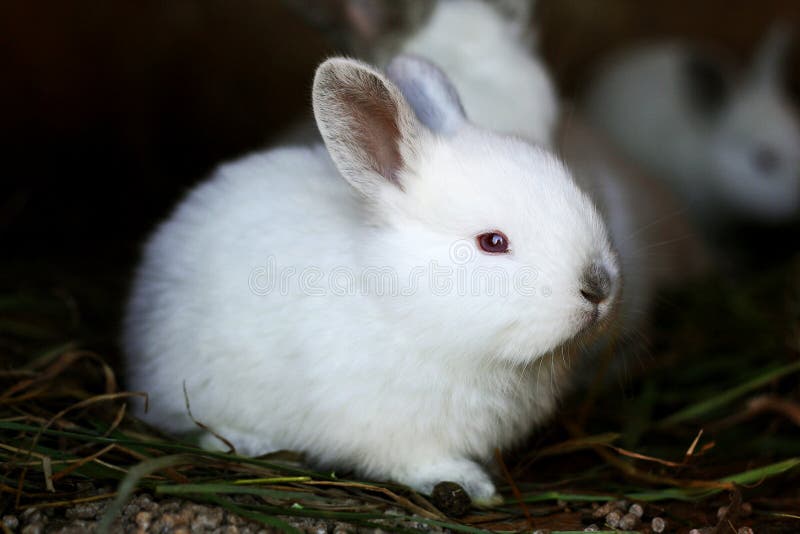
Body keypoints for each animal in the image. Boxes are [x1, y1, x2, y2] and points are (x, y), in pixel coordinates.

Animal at [123, 54, 619, 505]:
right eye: (492, 242)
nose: (599, 288)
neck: (403, 305)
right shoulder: (394, 432)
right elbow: (413, 460)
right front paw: (472, 485)